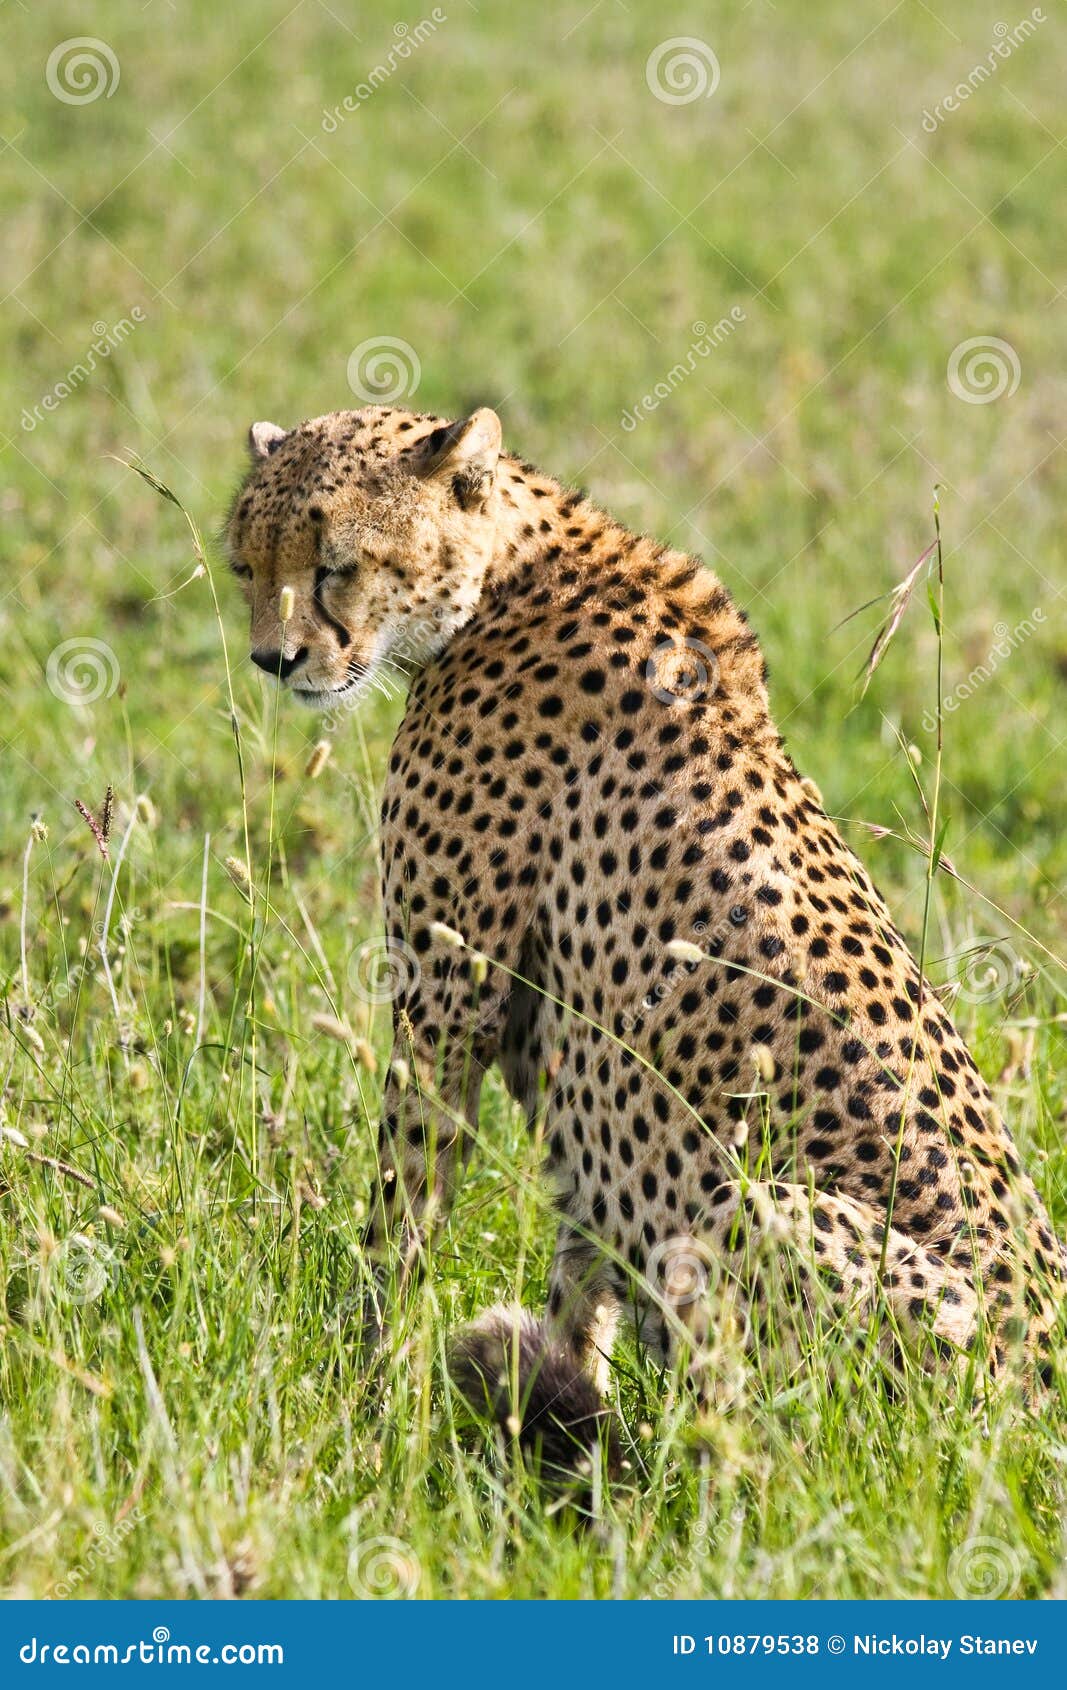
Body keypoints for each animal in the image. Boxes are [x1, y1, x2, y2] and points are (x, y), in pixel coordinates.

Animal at [227, 403, 1063, 1472]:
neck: (505, 573)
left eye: (335, 565)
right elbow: (575, 1265)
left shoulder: (447, 996)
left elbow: (402, 1206)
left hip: (765, 1210)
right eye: (247, 566)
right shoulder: (581, 1080)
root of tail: (1034, 1419)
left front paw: (366, 1381)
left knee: (768, 1454)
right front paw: (551, 1394)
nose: (274, 660)